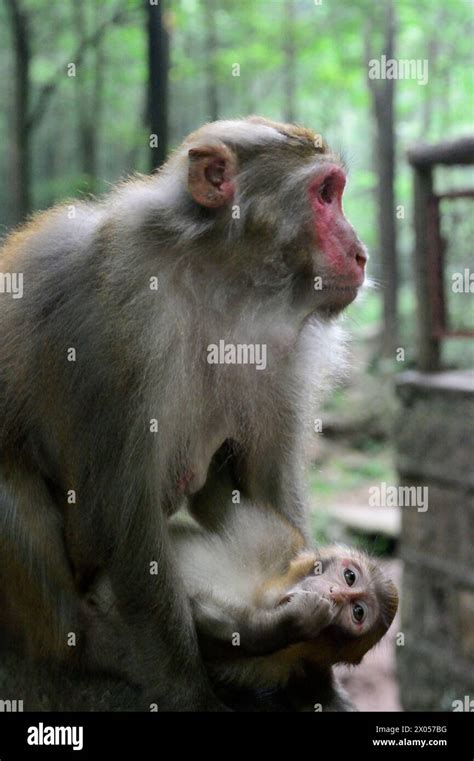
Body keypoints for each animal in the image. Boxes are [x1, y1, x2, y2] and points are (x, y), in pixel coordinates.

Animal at [0, 116, 367, 710]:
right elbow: (122, 512)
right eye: (325, 194)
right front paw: (187, 689)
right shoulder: (113, 319)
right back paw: (91, 645)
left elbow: (264, 484)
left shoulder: (284, 348)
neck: (222, 284)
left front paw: (316, 677)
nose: (361, 254)